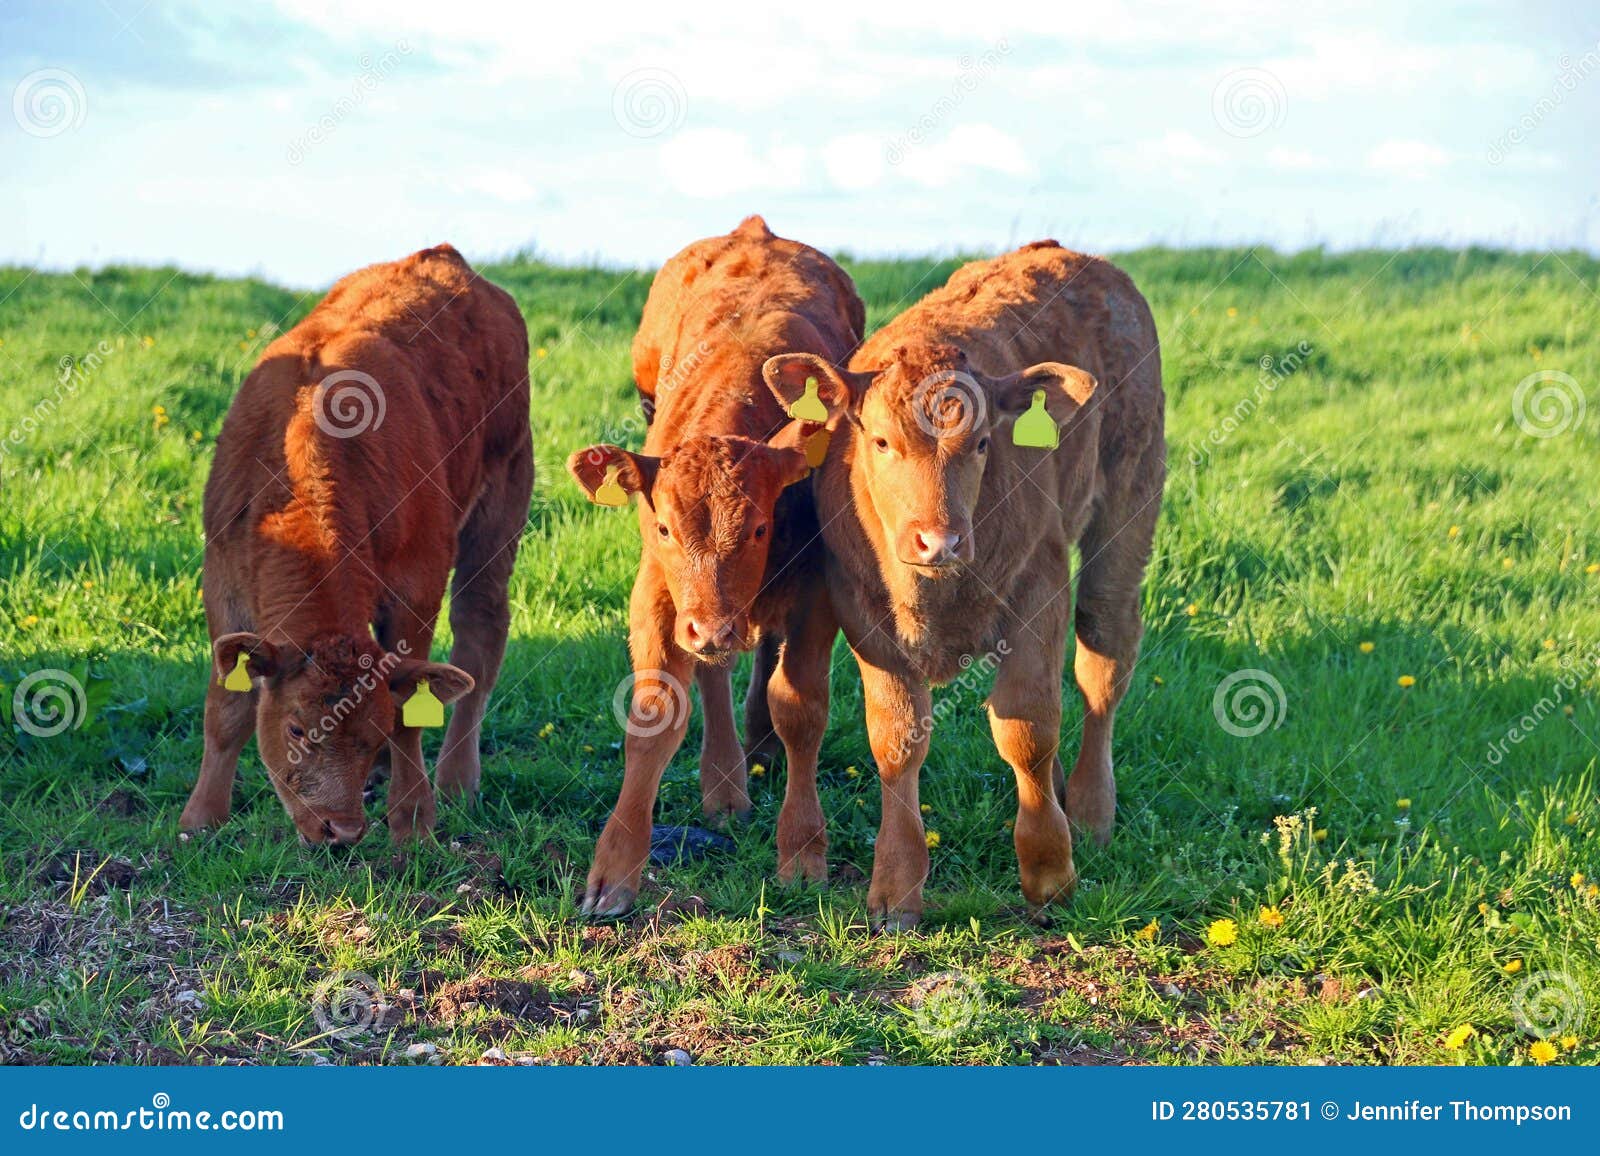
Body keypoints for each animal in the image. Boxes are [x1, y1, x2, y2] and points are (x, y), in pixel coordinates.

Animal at [179, 243, 533, 846]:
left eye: (372, 732)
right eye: (296, 729)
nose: (341, 829)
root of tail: (445, 258)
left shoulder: (418, 583)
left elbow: (411, 710)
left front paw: (413, 820)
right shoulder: (222, 579)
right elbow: (225, 709)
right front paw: (201, 819)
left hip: (502, 504)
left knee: (480, 632)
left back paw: (456, 780)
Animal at [567, 215, 864, 916]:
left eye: (758, 527)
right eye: (664, 528)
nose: (709, 628)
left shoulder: (816, 589)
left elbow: (799, 707)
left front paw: (802, 849)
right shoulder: (658, 591)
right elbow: (654, 715)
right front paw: (614, 868)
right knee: (714, 669)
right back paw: (725, 782)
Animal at [762, 241, 1164, 929]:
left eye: (980, 443)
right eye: (880, 441)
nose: (939, 541)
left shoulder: (1039, 589)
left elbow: (1028, 730)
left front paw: (1049, 870)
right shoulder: (866, 617)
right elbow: (896, 741)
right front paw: (896, 888)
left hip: (1128, 510)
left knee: (1104, 662)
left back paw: (1089, 810)